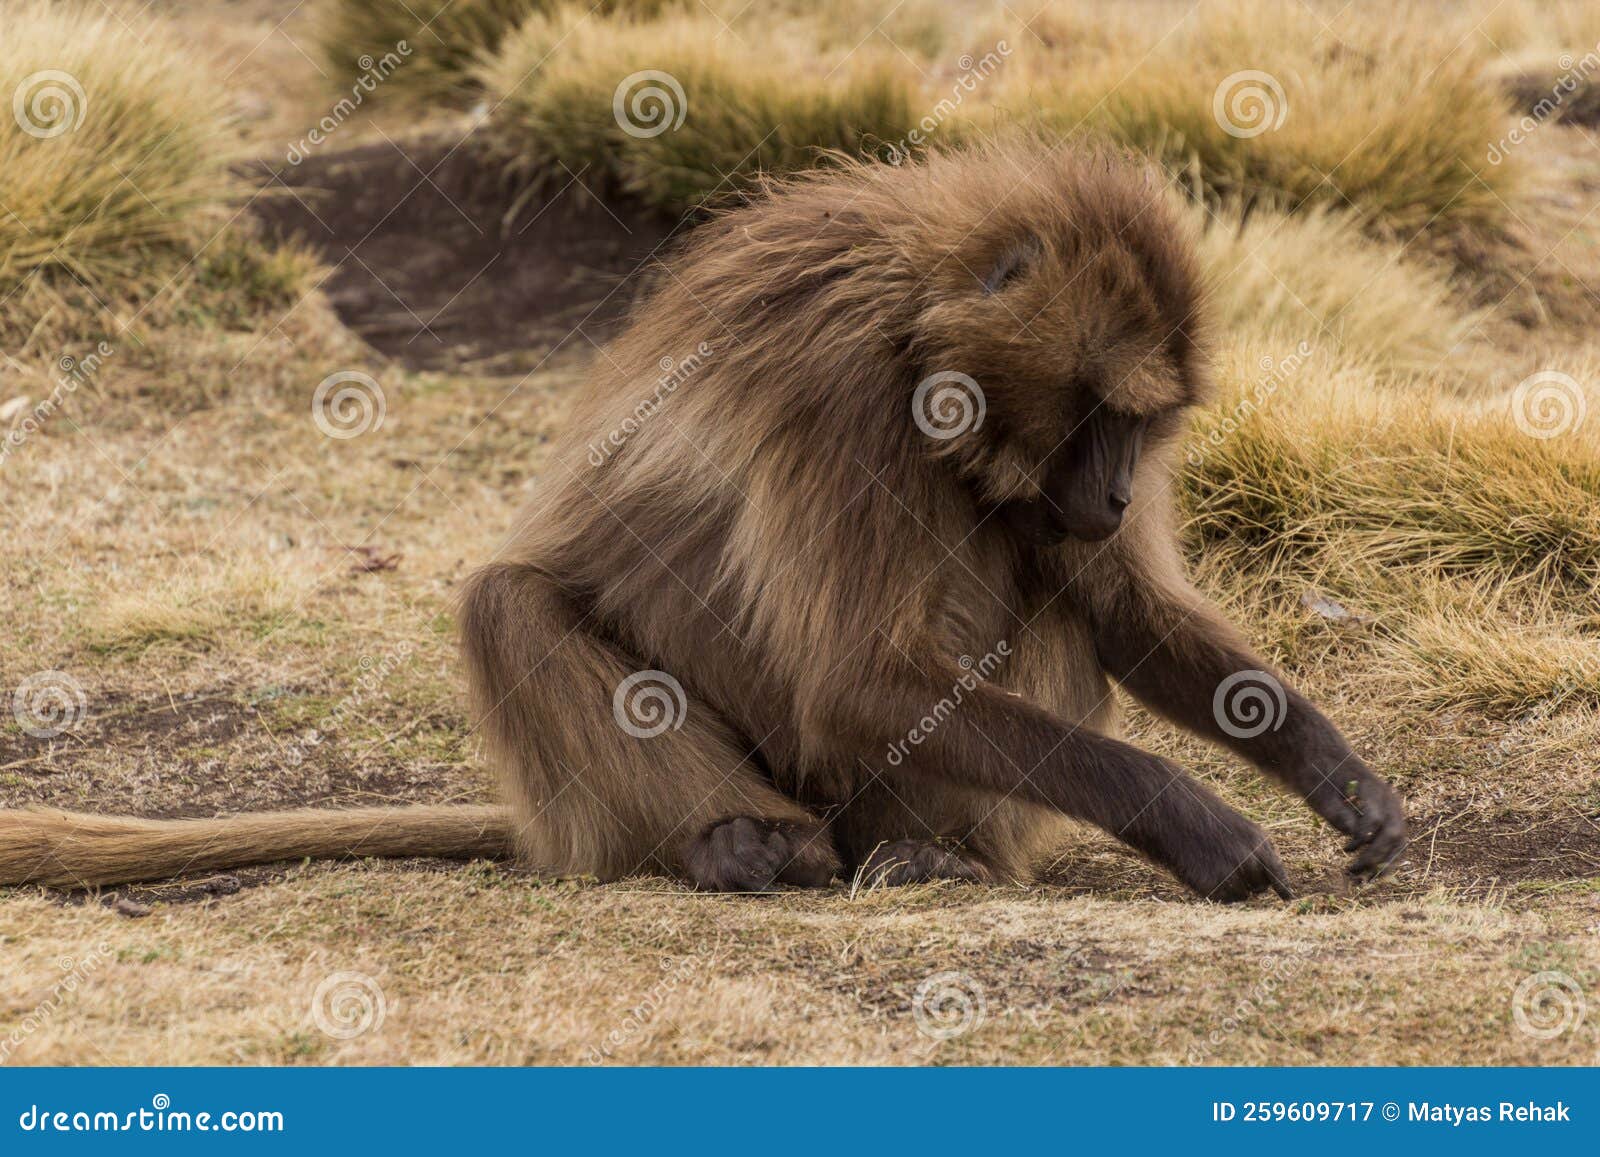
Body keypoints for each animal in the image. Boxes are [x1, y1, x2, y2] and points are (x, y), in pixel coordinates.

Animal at [0, 140, 1406, 900]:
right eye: (1100, 415)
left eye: (1140, 428)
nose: (1115, 496)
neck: (919, 325)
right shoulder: (836, 391)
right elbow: (854, 681)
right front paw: (1197, 819)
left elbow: (1121, 607)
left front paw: (1334, 776)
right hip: (776, 784)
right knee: (508, 601)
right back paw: (753, 844)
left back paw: (918, 857)